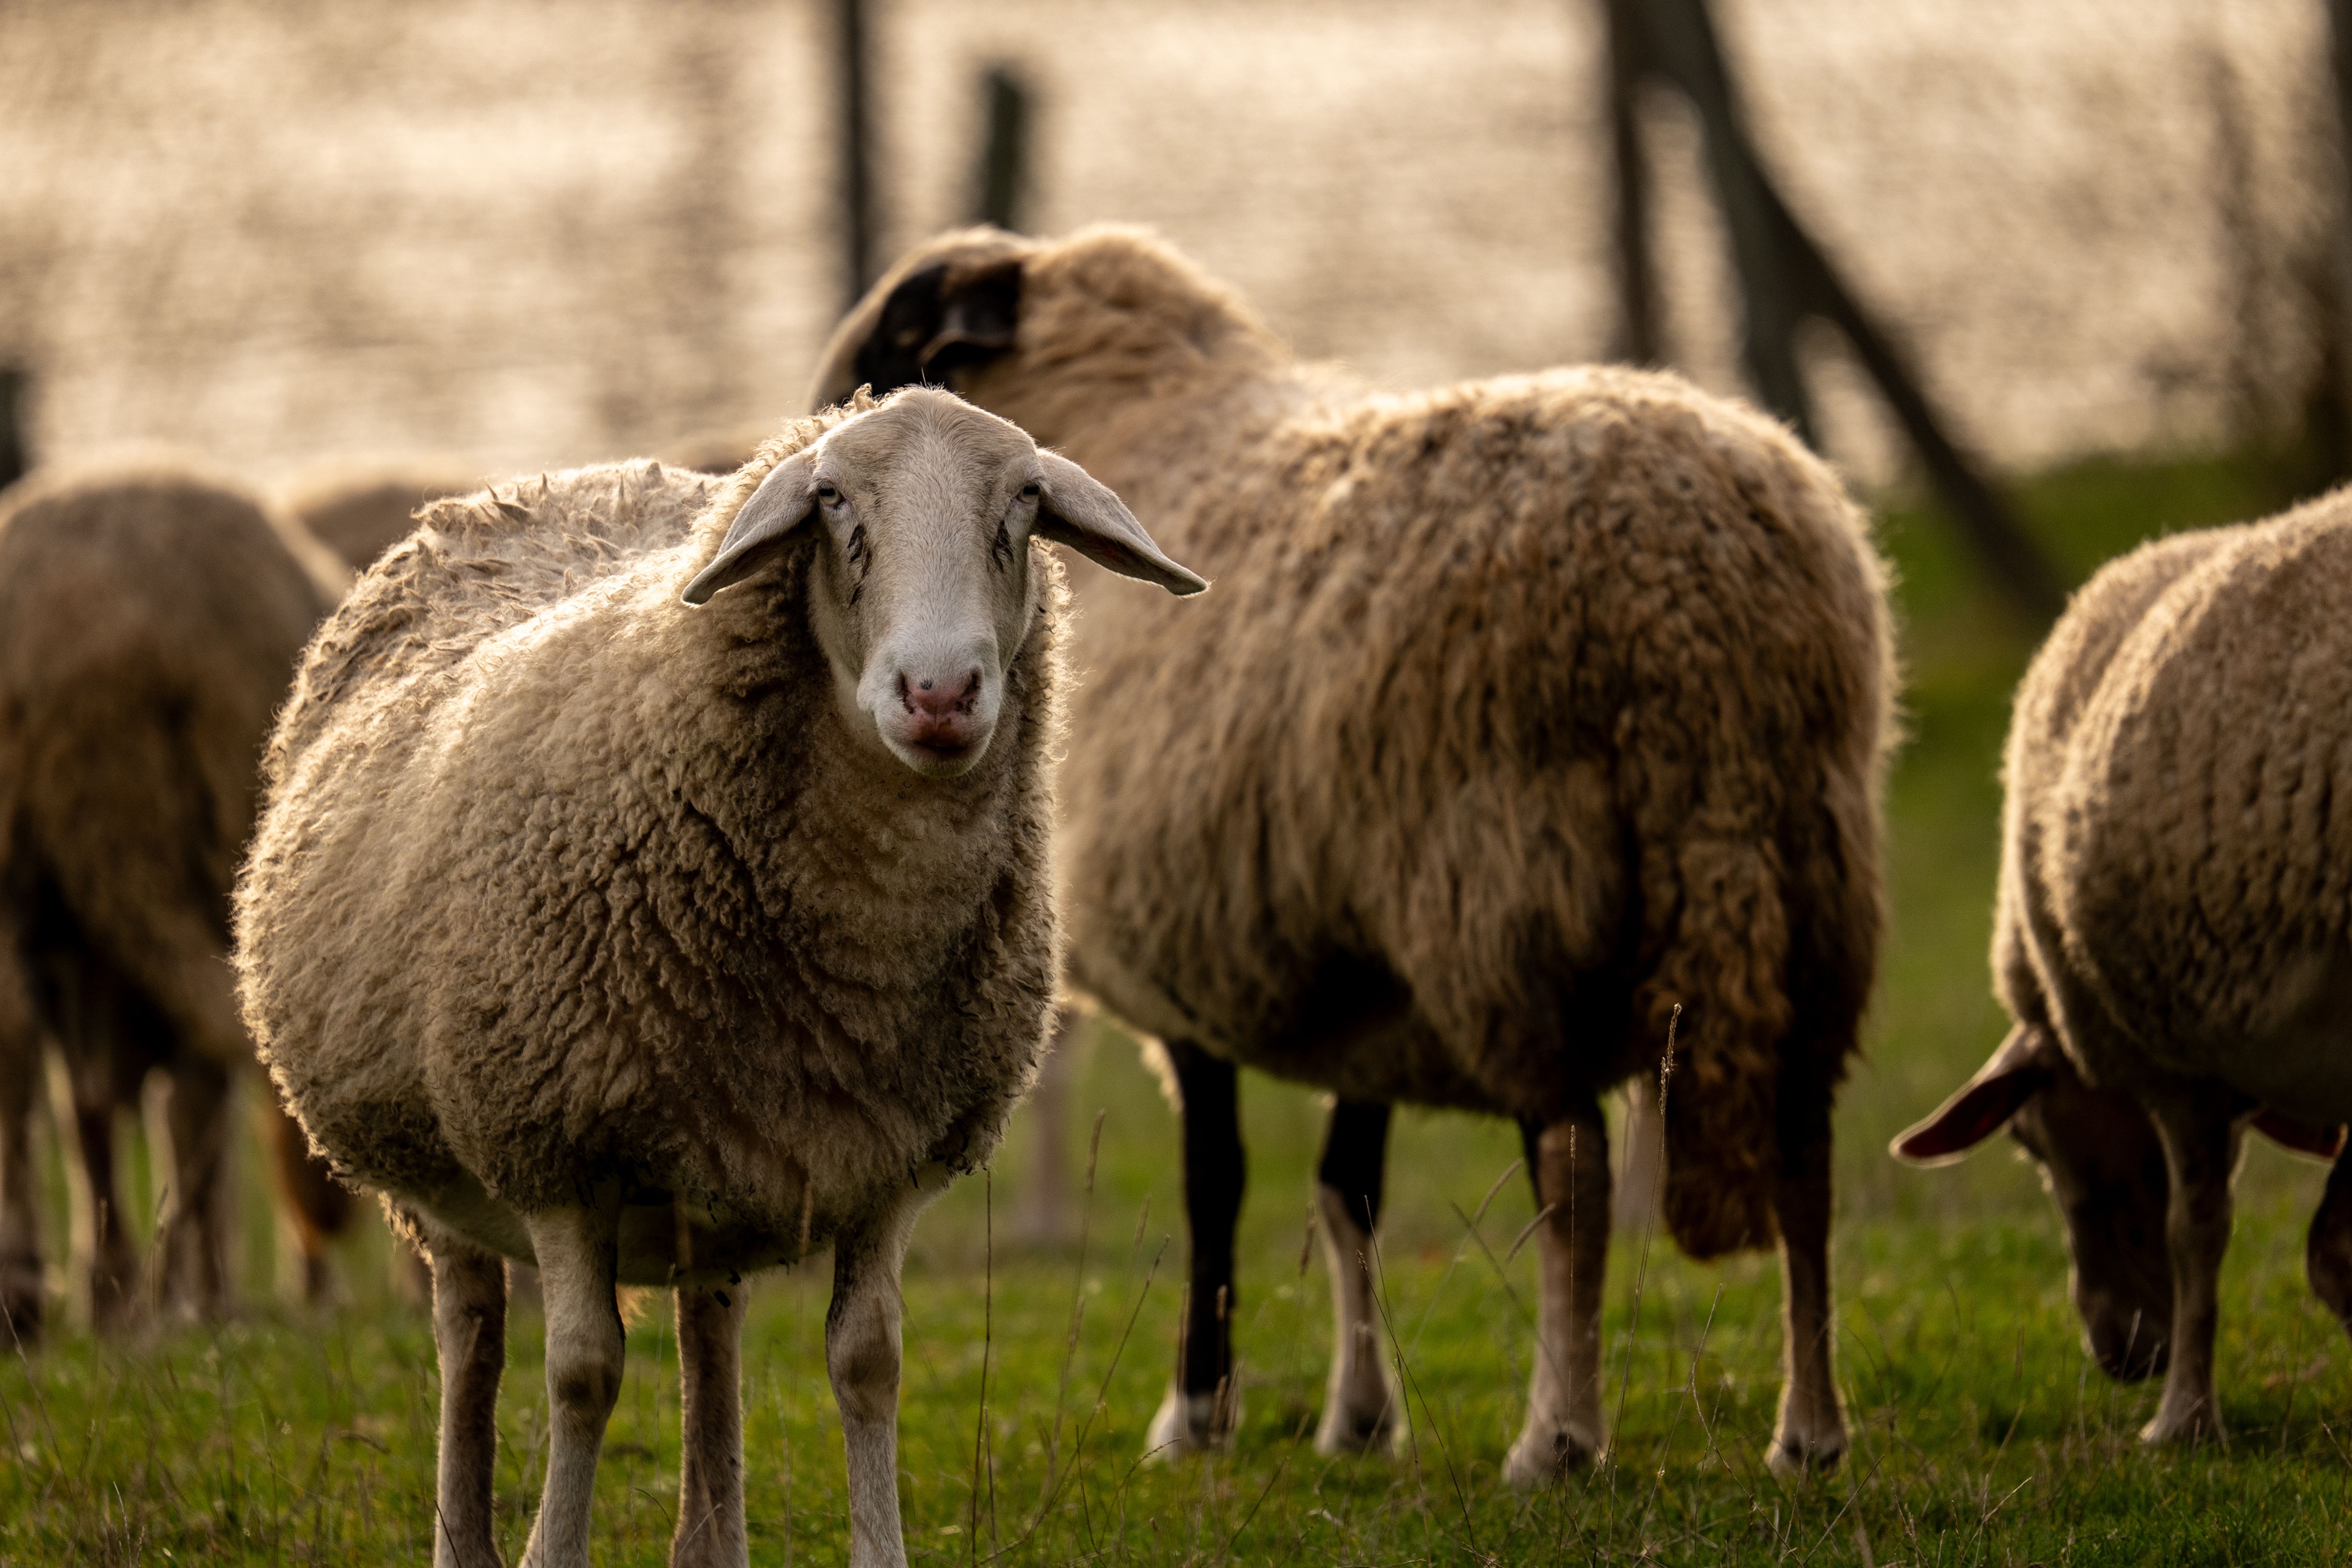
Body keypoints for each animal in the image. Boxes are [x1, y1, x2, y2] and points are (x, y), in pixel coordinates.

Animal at [232, 386, 1205, 1568]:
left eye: (1023, 498)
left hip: (708, 1156)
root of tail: (557, 480)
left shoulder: (889, 1163)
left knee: (709, 1324)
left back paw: (710, 1536)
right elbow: (582, 1373)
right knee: (470, 1332)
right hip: (439, 1161)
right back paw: (464, 1536)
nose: (938, 692)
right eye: (832, 502)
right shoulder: (552, 1154)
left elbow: (869, 1361)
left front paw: (879, 1547)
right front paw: (552, 1549)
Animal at [811, 225, 1897, 1481]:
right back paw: (1809, 1427)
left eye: (896, 352)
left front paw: (1196, 1413)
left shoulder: (1192, 954)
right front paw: (1359, 1418)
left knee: (1573, 1164)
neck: (1134, 418)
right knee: (1804, 1153)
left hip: (1507, 901)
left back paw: (1558, 1433)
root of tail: (1705, 614)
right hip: (1808, 883)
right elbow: (1346, 1190)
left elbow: (1216, 1184)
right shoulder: (1350, 964)